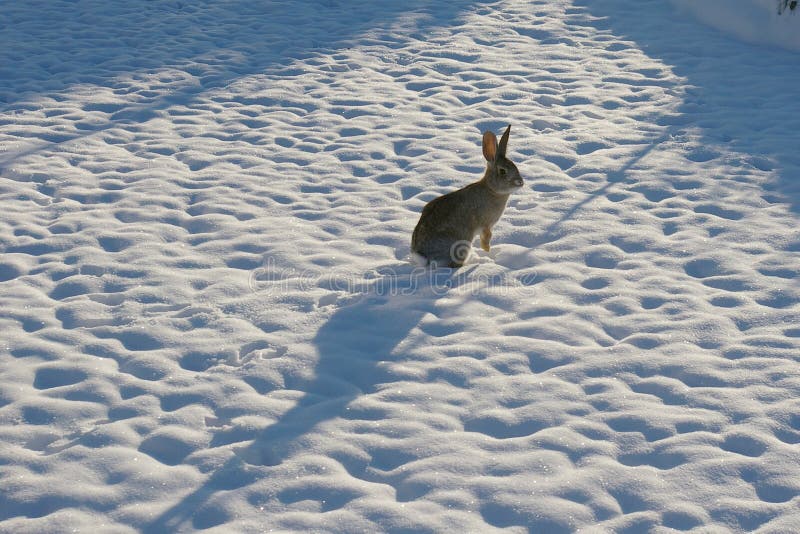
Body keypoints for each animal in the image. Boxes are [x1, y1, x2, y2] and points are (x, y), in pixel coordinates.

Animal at [411, 124, 523, 268]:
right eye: (502, 171)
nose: (520, 182)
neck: (491, 189)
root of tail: (422, 255)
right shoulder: (485, 225)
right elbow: (486, 239)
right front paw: (488, 252)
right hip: (462, 245)